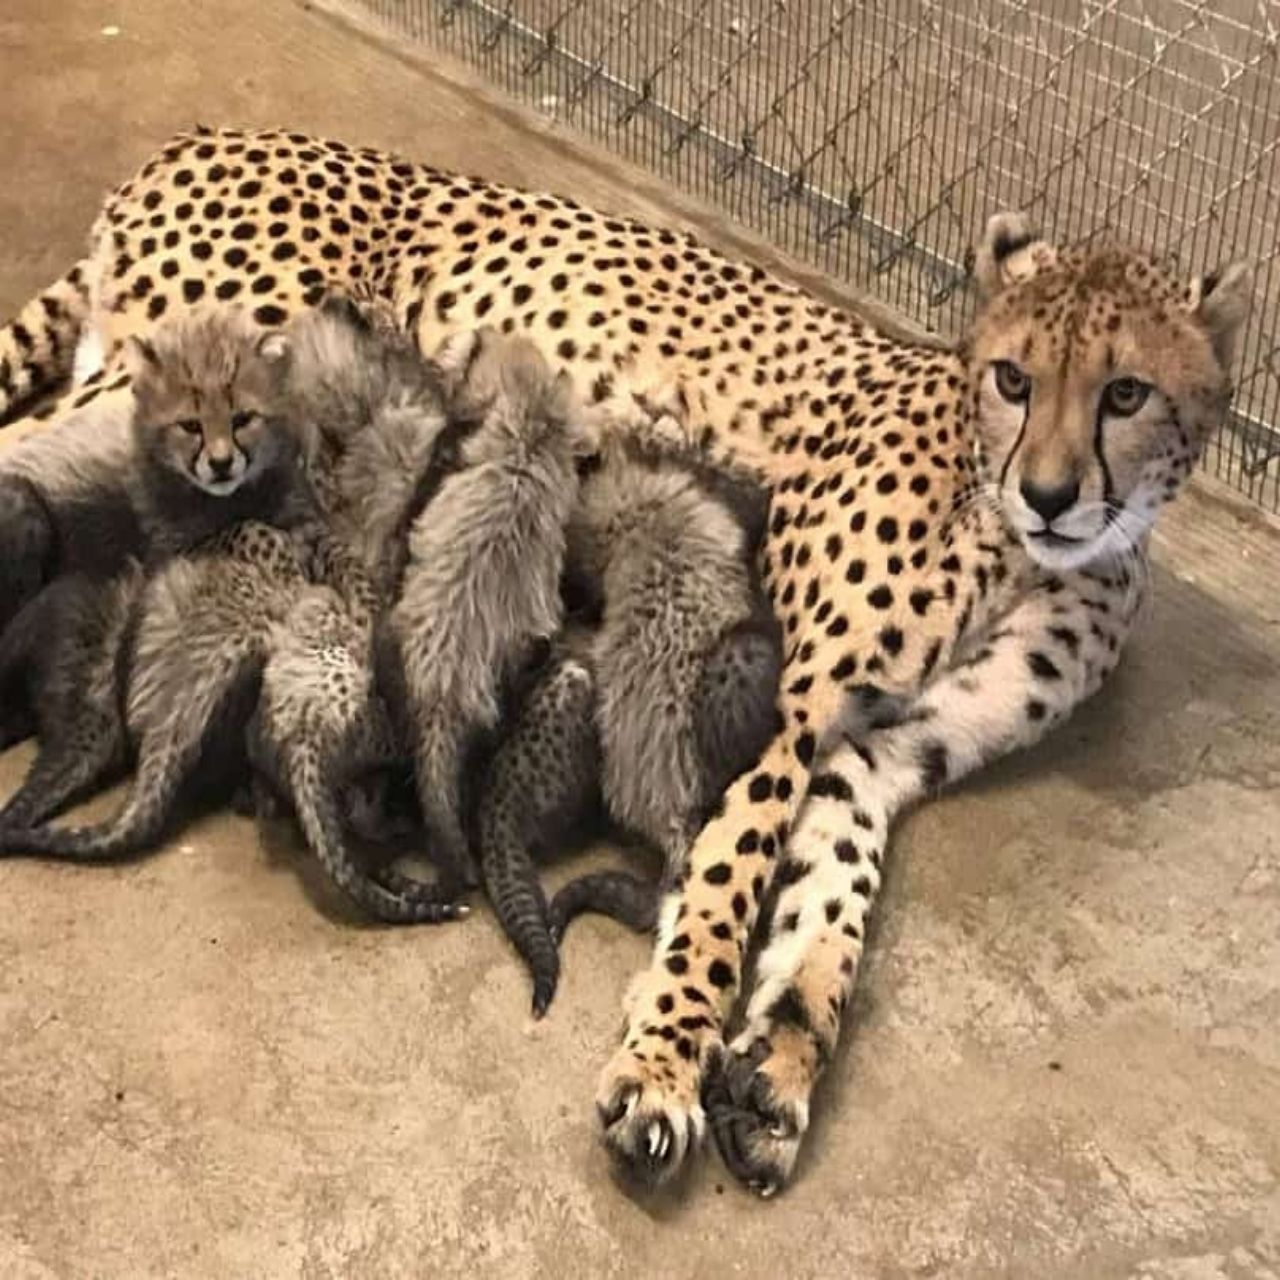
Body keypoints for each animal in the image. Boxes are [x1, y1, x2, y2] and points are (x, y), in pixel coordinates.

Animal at [0, 126, 1251, 1195]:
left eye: (1124, 392)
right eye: (1012, 378)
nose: (1048, 492)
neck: (1024, 542)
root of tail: (210, 136)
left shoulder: (883, 751)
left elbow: (827, 908)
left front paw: (778, 1069)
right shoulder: (791, 706)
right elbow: (725, 883)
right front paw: (661, 1067)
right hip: (183, 373)